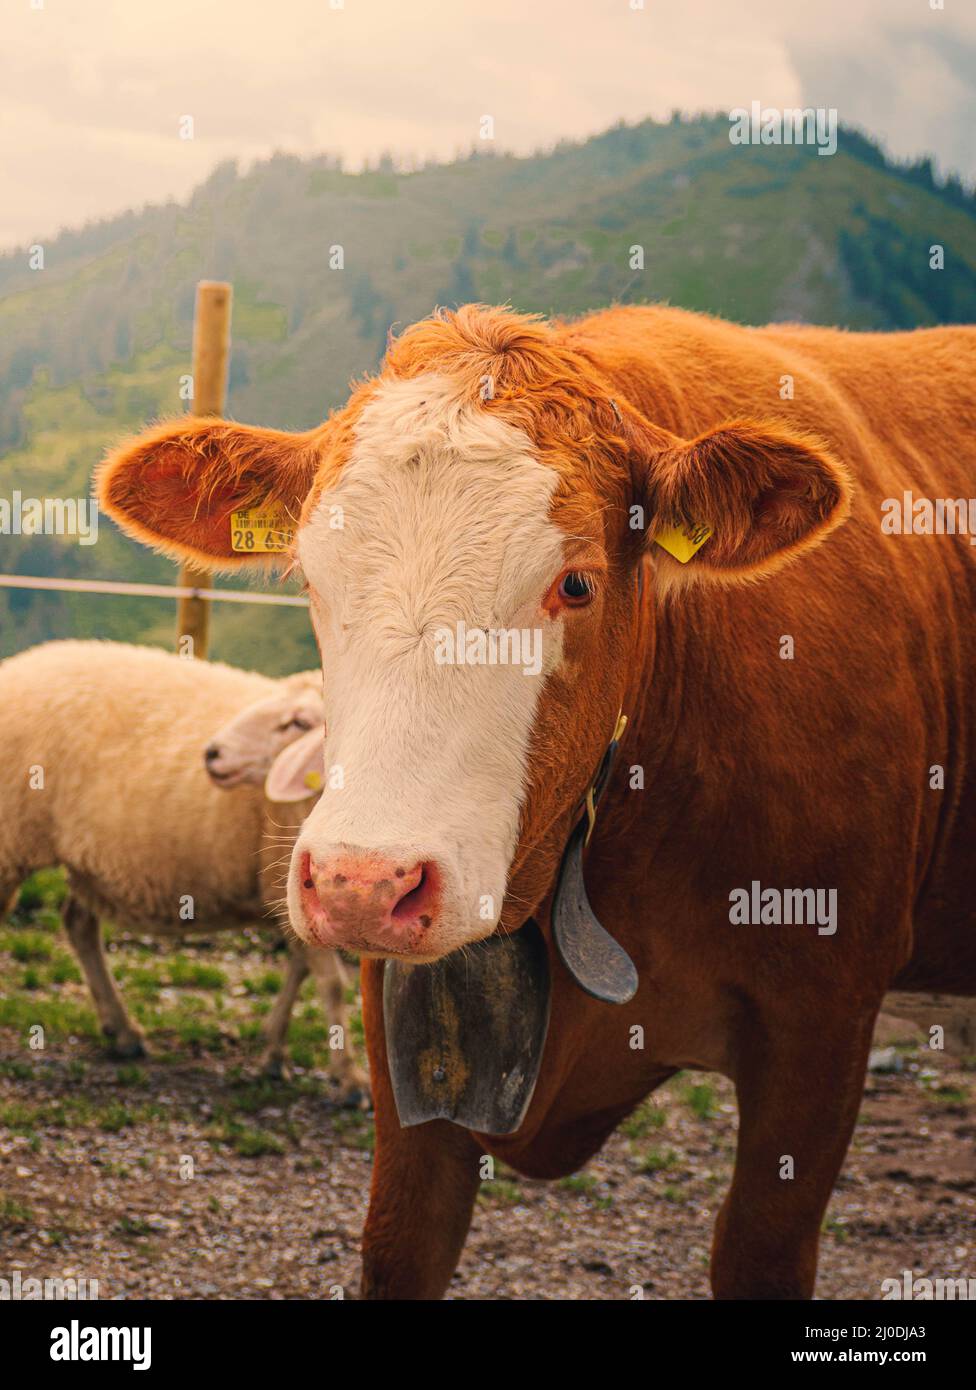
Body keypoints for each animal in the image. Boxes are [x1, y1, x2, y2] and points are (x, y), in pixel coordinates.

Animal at [97, 303, 976, 1300]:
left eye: (576, 582)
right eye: (312, 580)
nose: (363, 882)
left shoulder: (822, 1026)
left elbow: (757, 1245)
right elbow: (399, 1243)